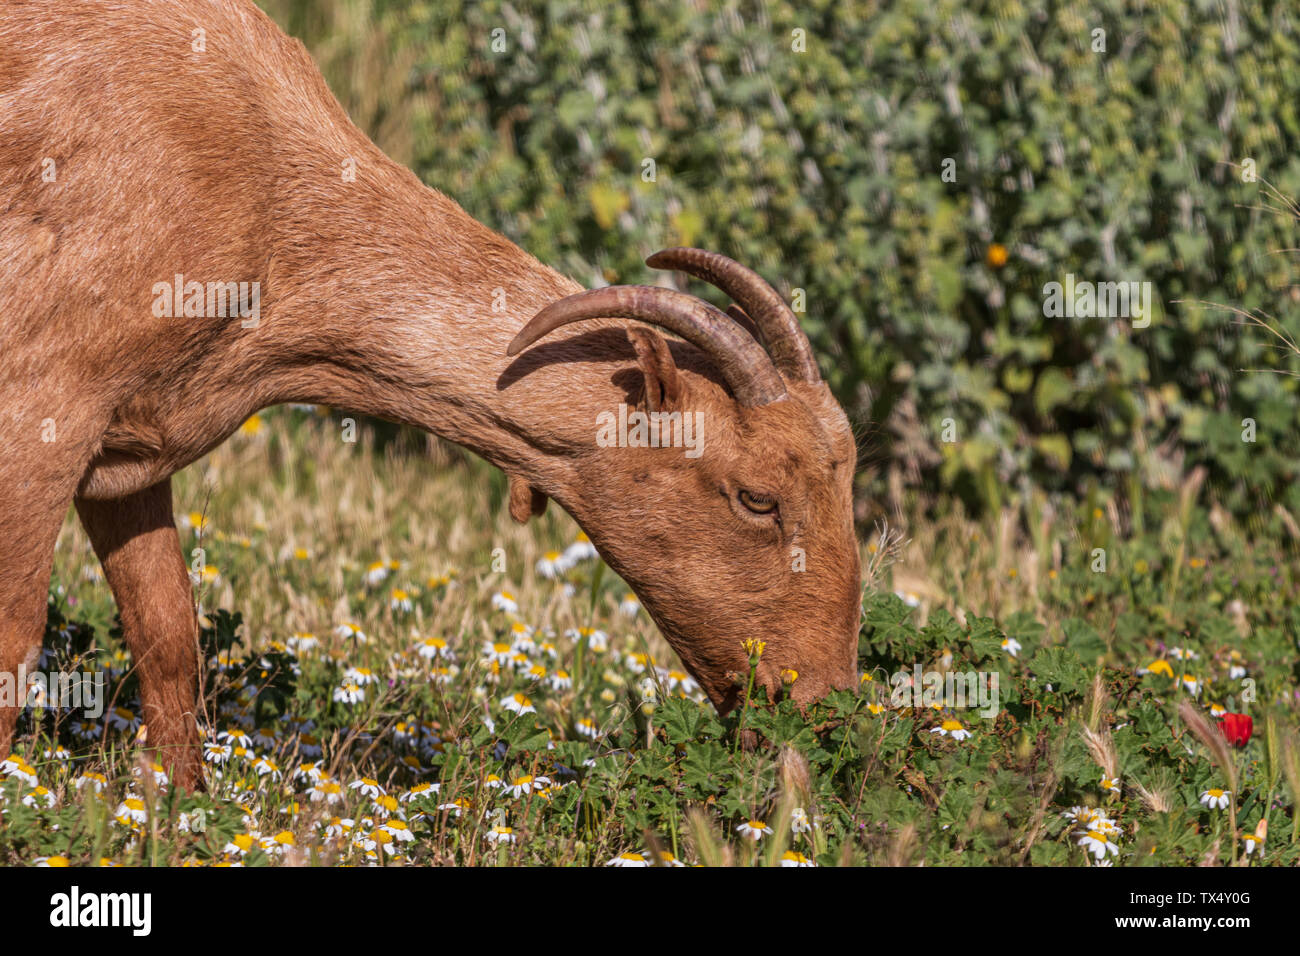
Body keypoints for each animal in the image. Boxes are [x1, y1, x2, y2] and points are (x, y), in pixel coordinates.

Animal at [0, 0, 862, 790]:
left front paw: (179, 810)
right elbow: (16, 639)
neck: (269, 192)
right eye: (757, 497)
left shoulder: (130, 451)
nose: (821, 703)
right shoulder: (45, 413)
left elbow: (169, 631)